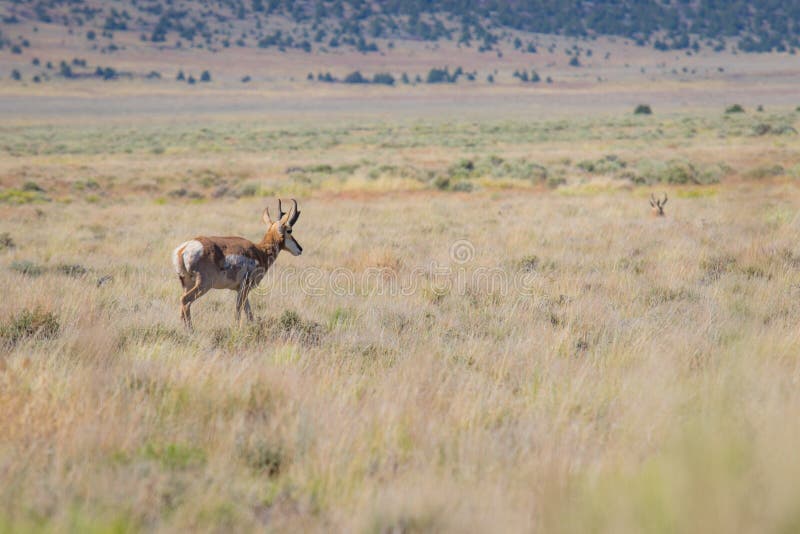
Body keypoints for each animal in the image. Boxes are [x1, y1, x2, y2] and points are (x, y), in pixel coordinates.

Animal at [172, 199, 302, 329]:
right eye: (289, 230)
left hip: (187, 284)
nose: (300, 249)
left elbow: (248, 312)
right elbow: (239, 309)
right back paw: (190, 330)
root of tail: (184, 248)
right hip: (203, 285)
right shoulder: (244, 288)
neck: (259, 251)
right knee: (185, 300)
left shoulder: (241, 290)